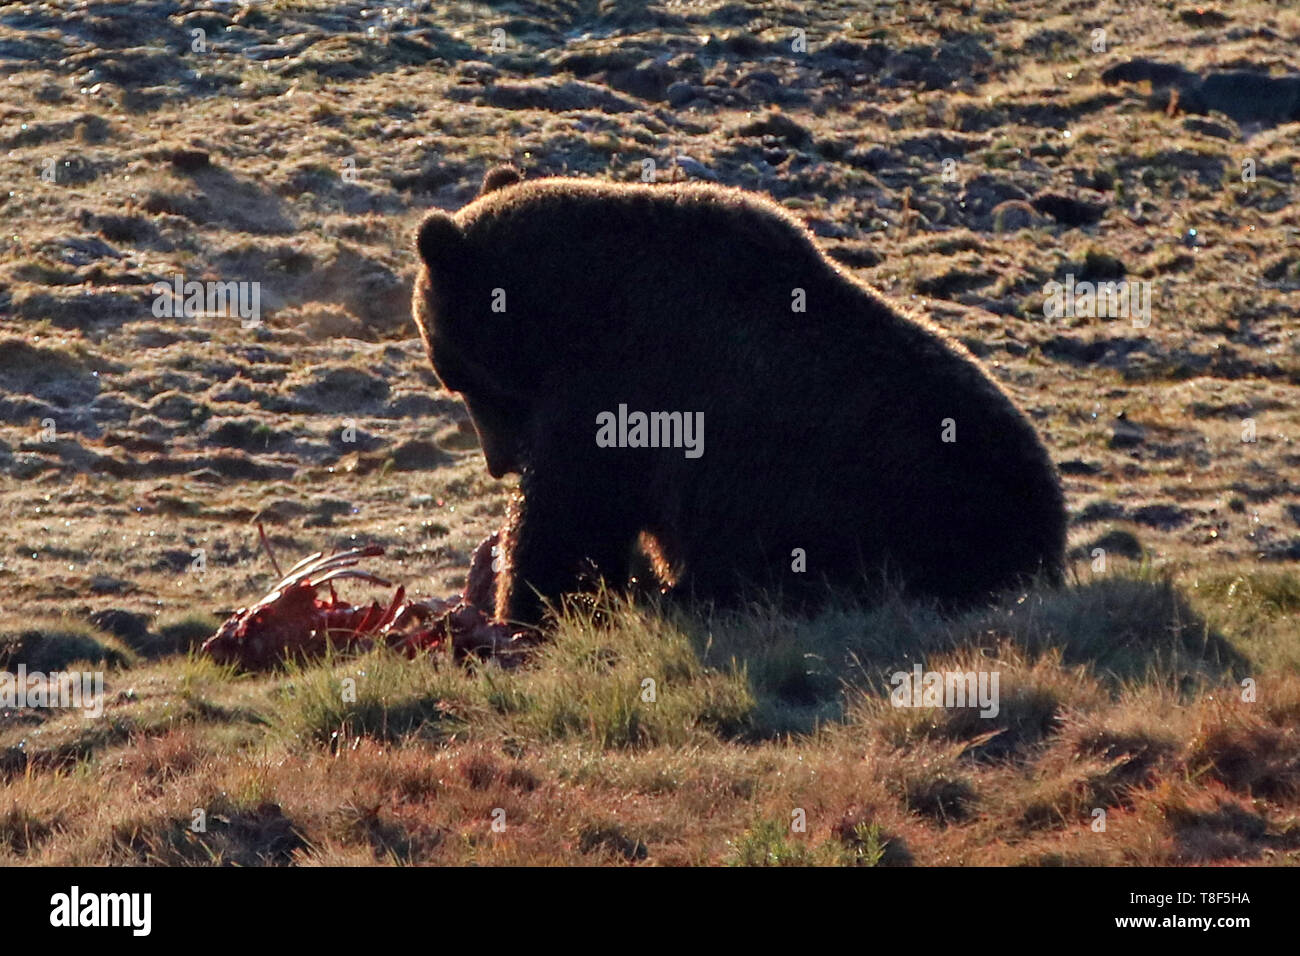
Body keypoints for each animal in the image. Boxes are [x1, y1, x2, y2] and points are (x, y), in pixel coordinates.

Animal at [412, 165, 1067, 626]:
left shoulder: (618, 389)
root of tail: (1046, 544)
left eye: (458, 376)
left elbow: (569, 518)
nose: (498, 462)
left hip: (891, 509)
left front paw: (524, 608)